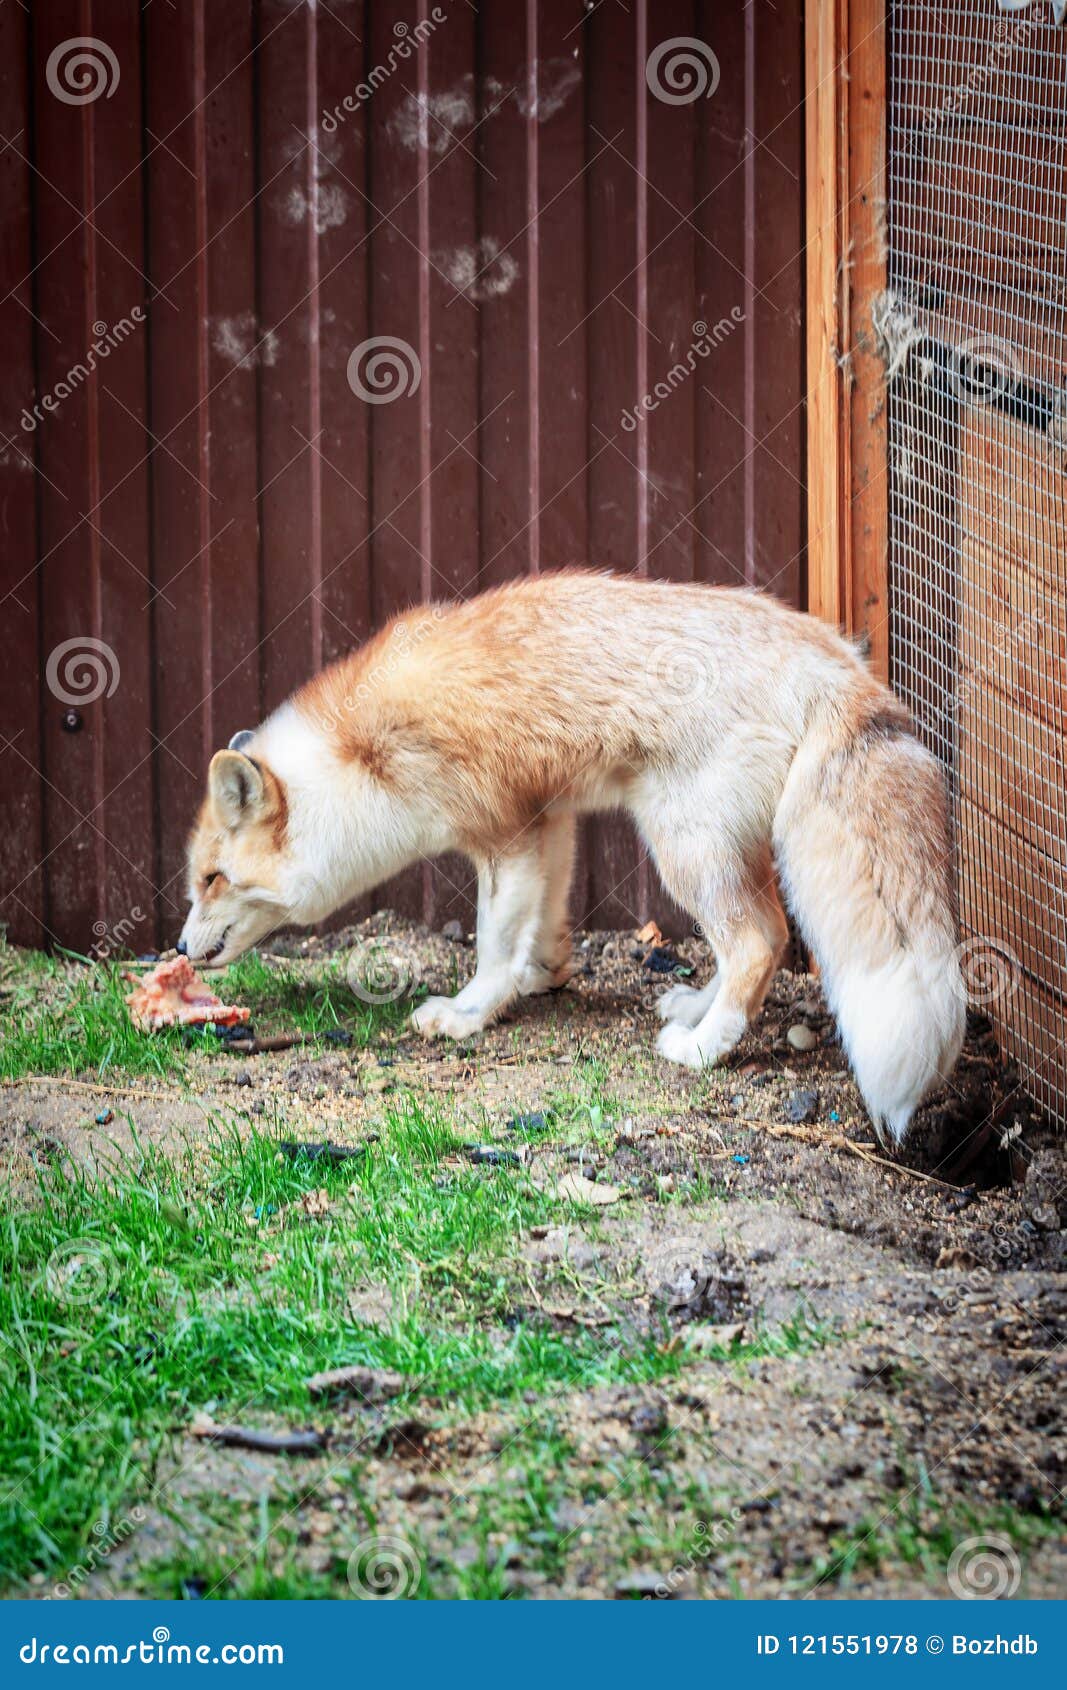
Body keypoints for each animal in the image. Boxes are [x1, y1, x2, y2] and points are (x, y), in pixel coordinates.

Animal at [179, 571, 965, 1145]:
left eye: (213, 879)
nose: (181, 949)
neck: (361, 758)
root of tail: (834, 660)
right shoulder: (547, 823)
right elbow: (545, 920)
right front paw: (543, 978)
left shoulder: (504, 836)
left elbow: (492, 944)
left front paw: (469, 1014)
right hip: (706, 851)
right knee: (748, 943)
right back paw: (694, 1007)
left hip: (681, 846)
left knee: (759, 940)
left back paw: (705, 1048)